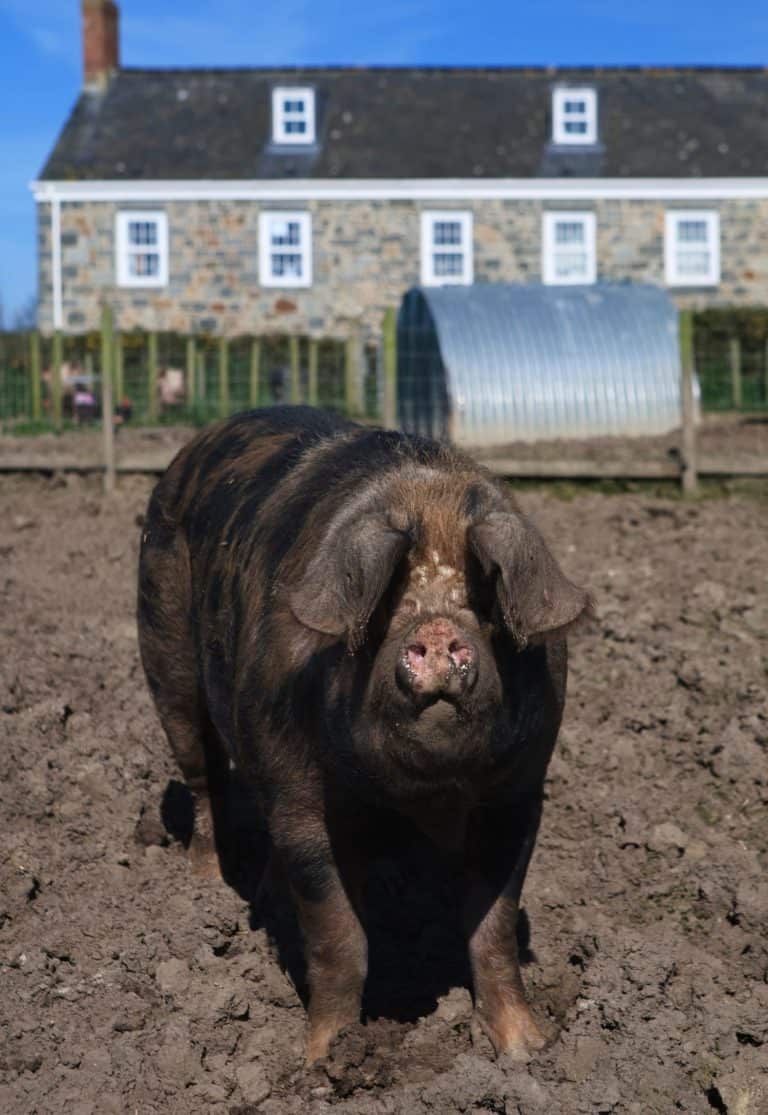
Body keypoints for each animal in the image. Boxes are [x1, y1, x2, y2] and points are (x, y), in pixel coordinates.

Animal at [137, 405, 592, 1065]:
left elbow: (495, 926)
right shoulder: (299, 796)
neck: (423, 795)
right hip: (165, 655)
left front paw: (526, 1050)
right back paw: (207, 887)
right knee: (202, 776)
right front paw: (323, 1057)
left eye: (484, 609)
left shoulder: (520, 793)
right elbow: (338, 936)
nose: (437, 631)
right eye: (385, 610)